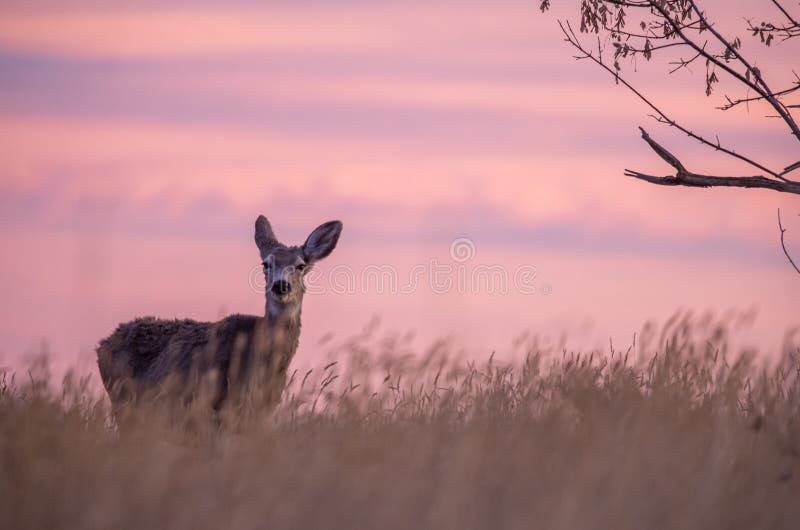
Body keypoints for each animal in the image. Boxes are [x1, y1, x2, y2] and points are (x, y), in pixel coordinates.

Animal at [96, 215, 342, 418]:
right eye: (266, 263)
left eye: (300, 265)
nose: (280, 285)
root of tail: (103, 343)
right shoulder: (217, 404)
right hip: (124, 400)